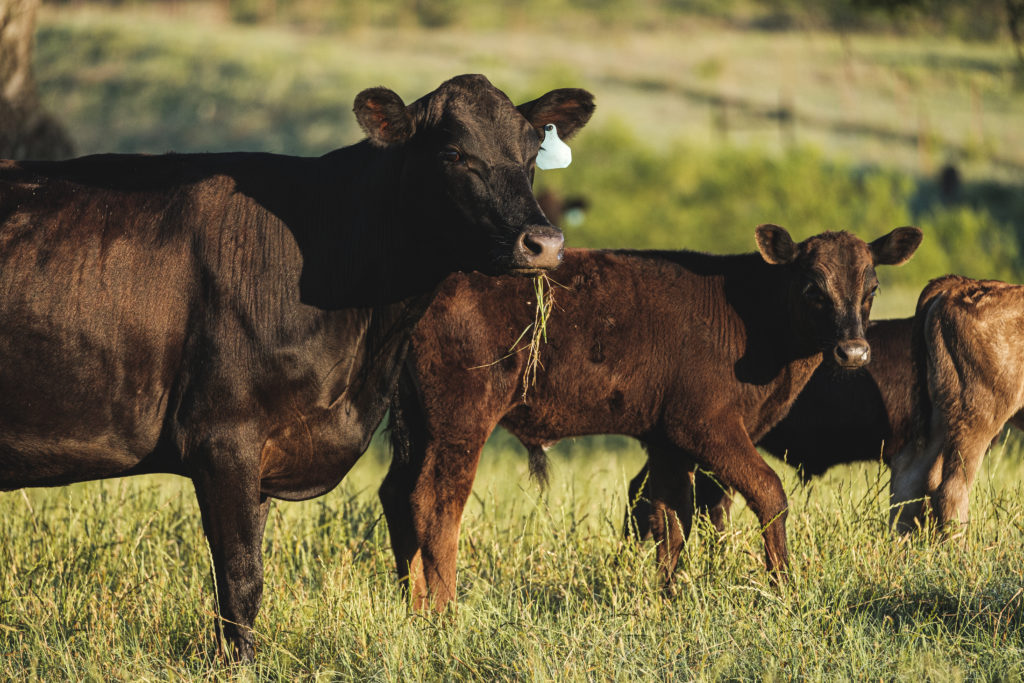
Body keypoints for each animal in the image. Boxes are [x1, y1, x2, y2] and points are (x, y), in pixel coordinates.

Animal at [0, 74, 595, 660]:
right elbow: (241, 580)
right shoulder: (222, 436)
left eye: (531, 154)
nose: (544, 243)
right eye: (452, 152)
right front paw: (239, 665)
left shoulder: (263, 454)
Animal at [382, 226, 922, 609]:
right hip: (461, 420)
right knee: (436, 503)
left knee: (396, 495)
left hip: (418, 428)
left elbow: (670, 517)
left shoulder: (667, 441)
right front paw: (784, 586)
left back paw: (413, 606)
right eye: (812, 287)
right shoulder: (705, 427)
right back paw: (444, 612)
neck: (751, 316)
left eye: (872, 287)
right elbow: (768, 493)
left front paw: (670, 598)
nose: (854, 352)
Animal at [889, 274, 1024, 535]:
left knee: (910, 472)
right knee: (951, 486)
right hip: (979, 414)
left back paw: (901, 539)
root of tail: (959, 285)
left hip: (941, 414)